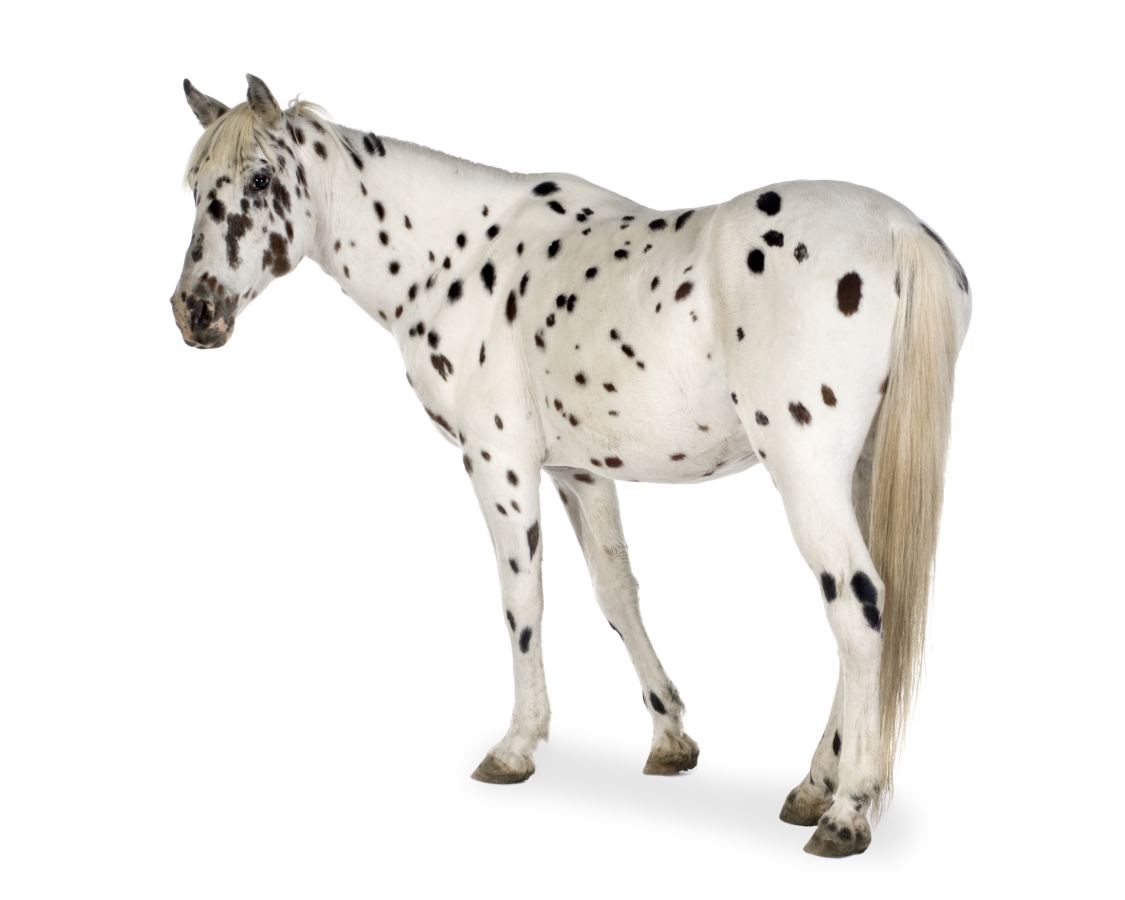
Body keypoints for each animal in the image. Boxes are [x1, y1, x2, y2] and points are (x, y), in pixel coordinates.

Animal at [169, 74, 970, 857]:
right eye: (196, 186)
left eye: (261, 177)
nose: (193, 311)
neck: (459, 256)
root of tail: (897, 231)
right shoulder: (579, 473)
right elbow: (616, 595)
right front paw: (670, 739)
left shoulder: (498, 463)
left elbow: (522, 602)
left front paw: (516, 747)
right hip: (855, 472)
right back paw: (813, 788)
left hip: (806, 474)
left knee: (857, 609)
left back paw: (847, 813)